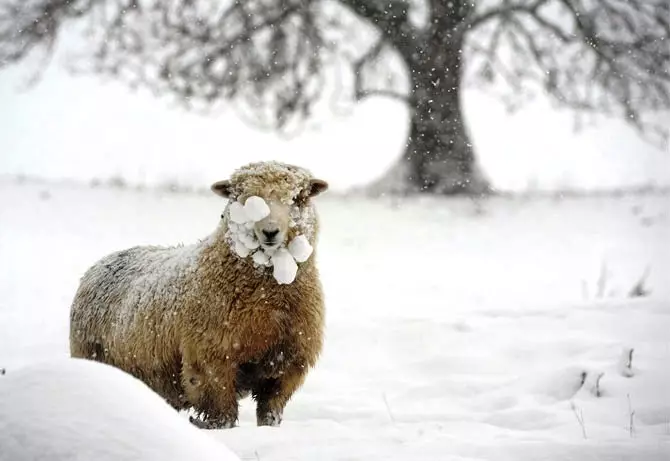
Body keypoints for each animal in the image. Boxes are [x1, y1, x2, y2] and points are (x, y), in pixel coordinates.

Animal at [69, 162, 330, 428]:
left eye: (298, 198)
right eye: (243, 198)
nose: (270, 231)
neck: (269, 301)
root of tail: (100, 263)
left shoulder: (289, 360)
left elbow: (270, 409)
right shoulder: (210, 356)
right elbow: (222, 409)